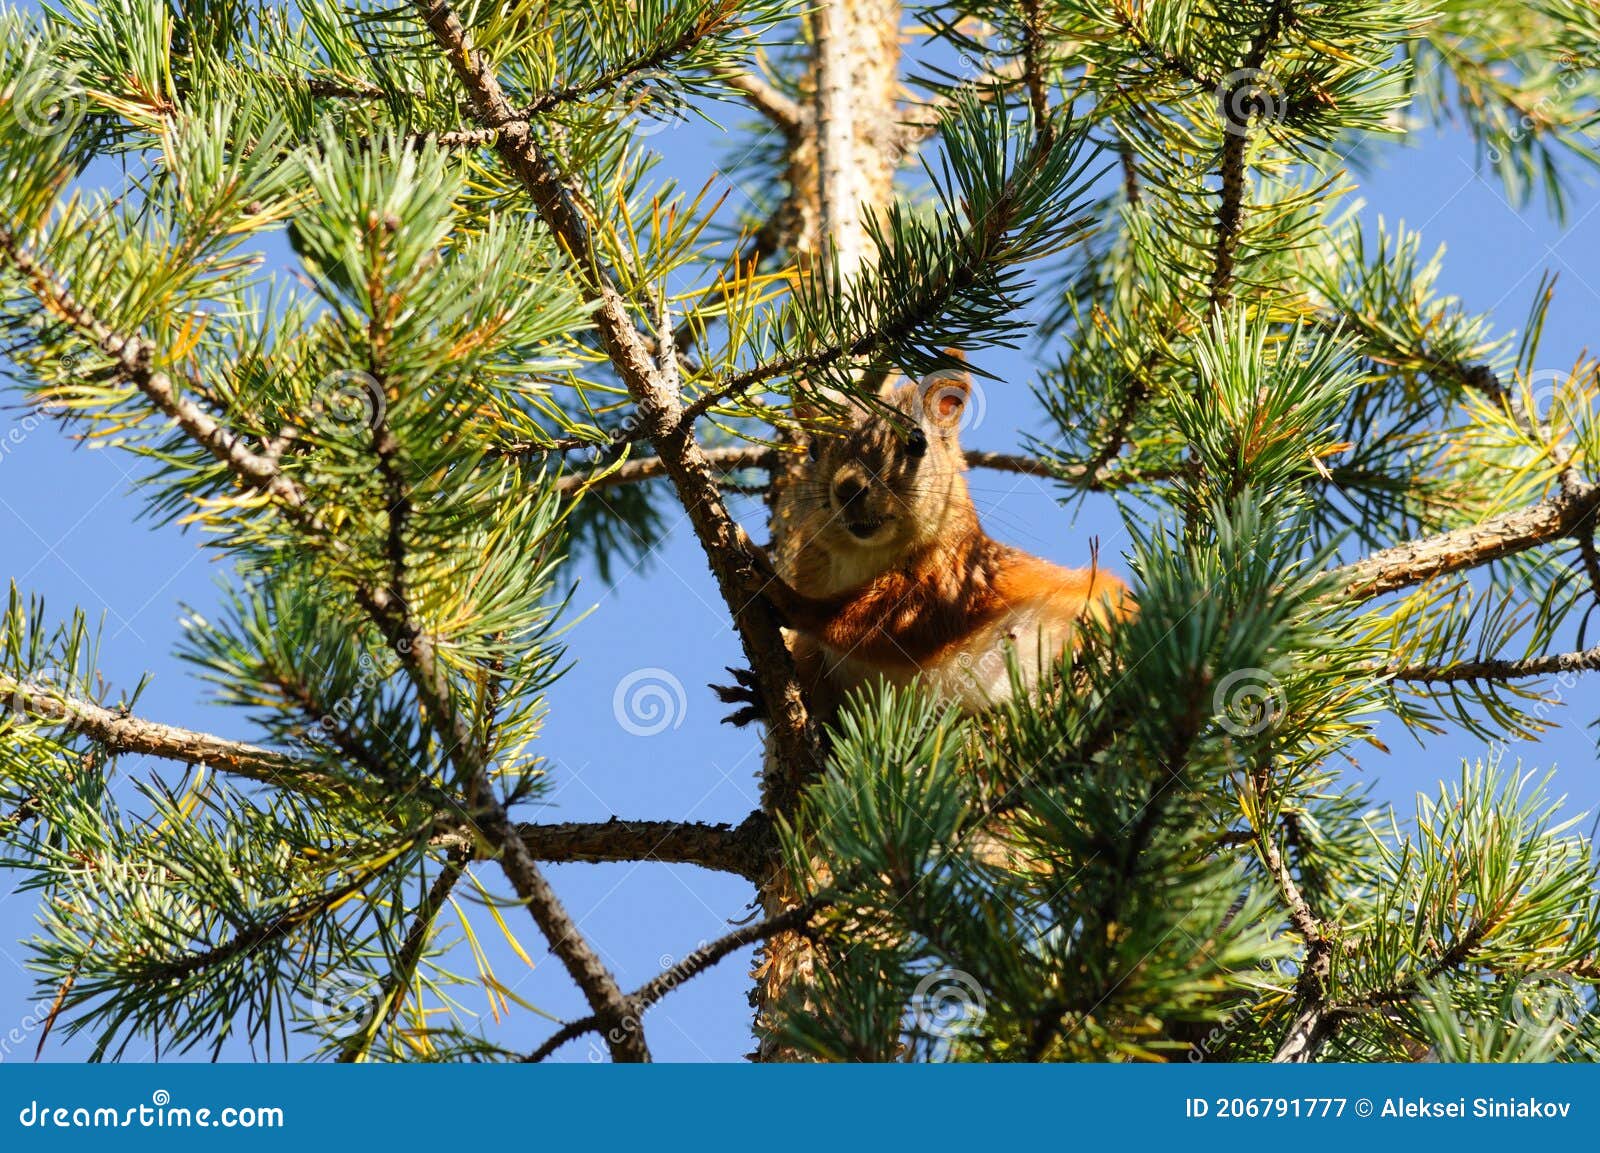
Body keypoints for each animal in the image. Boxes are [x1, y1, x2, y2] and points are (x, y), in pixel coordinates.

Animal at [718, 359, 1133, 726]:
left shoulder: (953, 581)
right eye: (813, 450)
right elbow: (815, 678)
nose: (849, 488)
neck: (863, 556)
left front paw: (779, 590)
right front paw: (761, 694)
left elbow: (878, 622)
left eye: (916, 442)